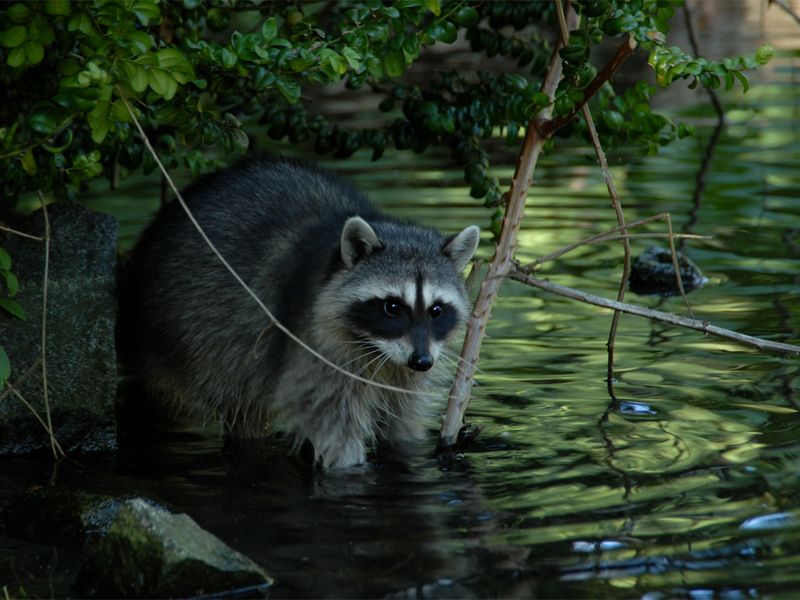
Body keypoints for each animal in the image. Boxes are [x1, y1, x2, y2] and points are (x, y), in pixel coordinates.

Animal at [121, 156, 479, 469]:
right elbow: (332, 422)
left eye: (436, 310)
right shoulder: (312, 348)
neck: (377, 349)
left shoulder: (404, 367)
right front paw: (348, 466)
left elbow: (402, 416)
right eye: (392, 307)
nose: (422, 361)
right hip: (191, 341)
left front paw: (414, 450)